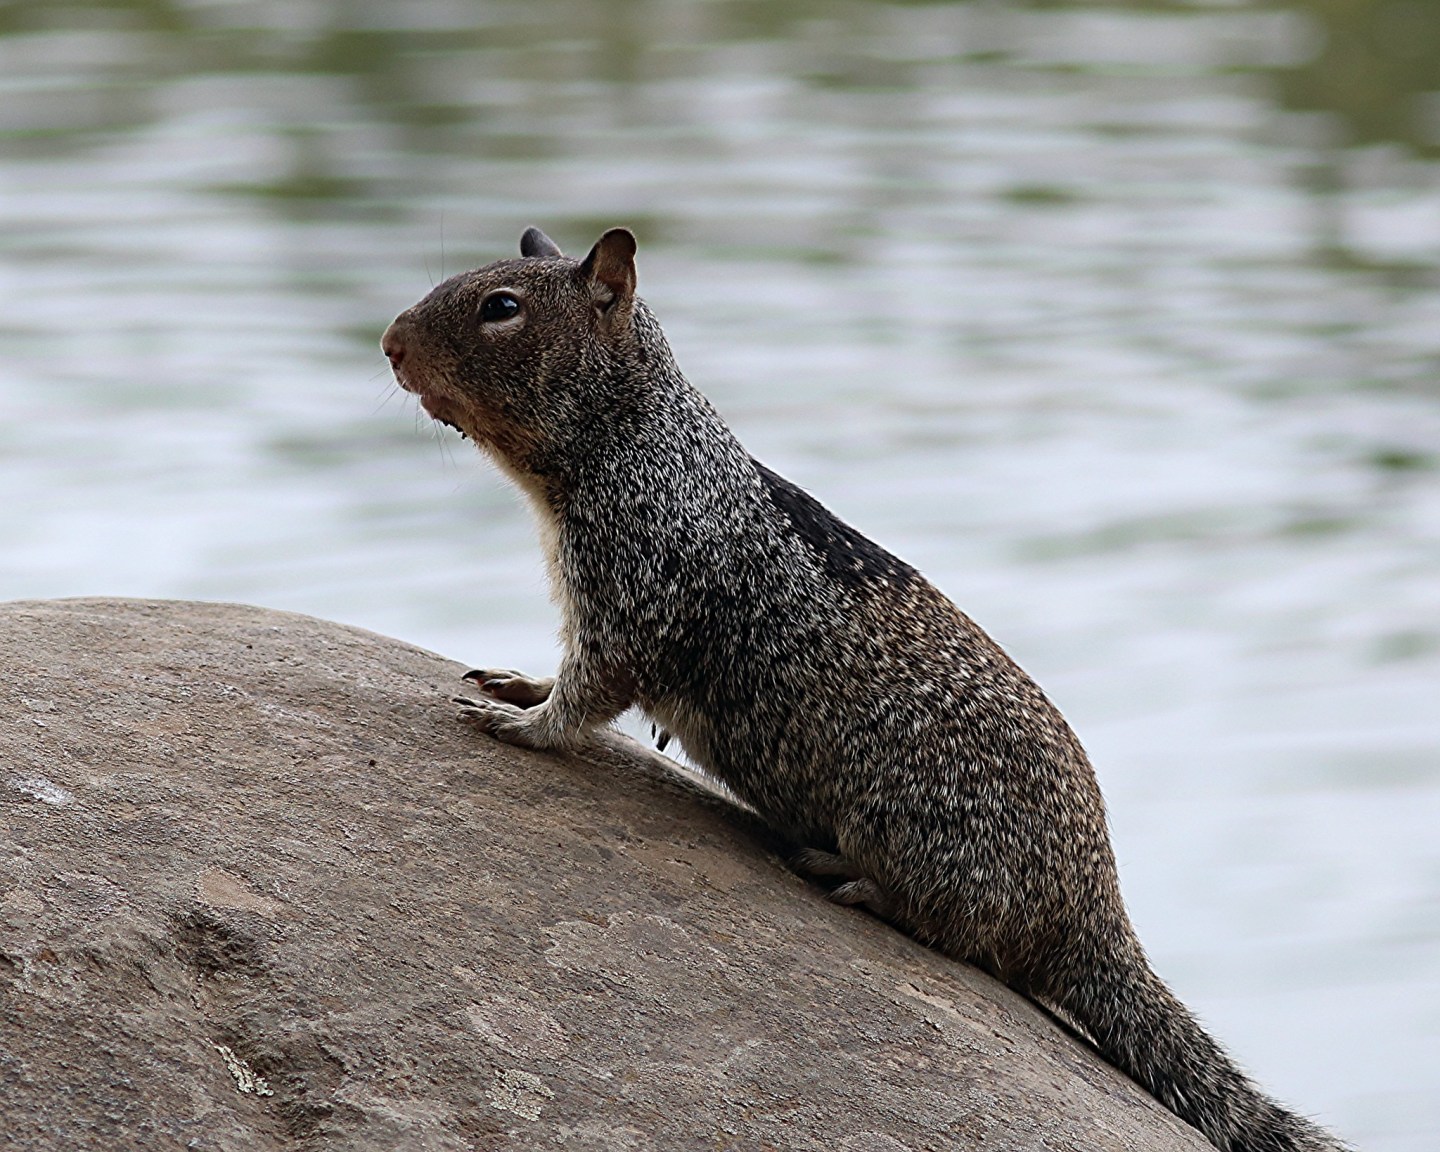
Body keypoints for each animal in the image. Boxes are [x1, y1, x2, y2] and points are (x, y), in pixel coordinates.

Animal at [381, 226, 1350, 1152]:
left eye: (501, 306)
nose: (389, 344)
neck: (646, 442)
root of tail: (1096, 910)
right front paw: (516, 682)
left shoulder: (635, 601)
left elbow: (588, 695)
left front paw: (522, 724)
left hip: (912, 836)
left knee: (972, 940)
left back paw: (854, 880)